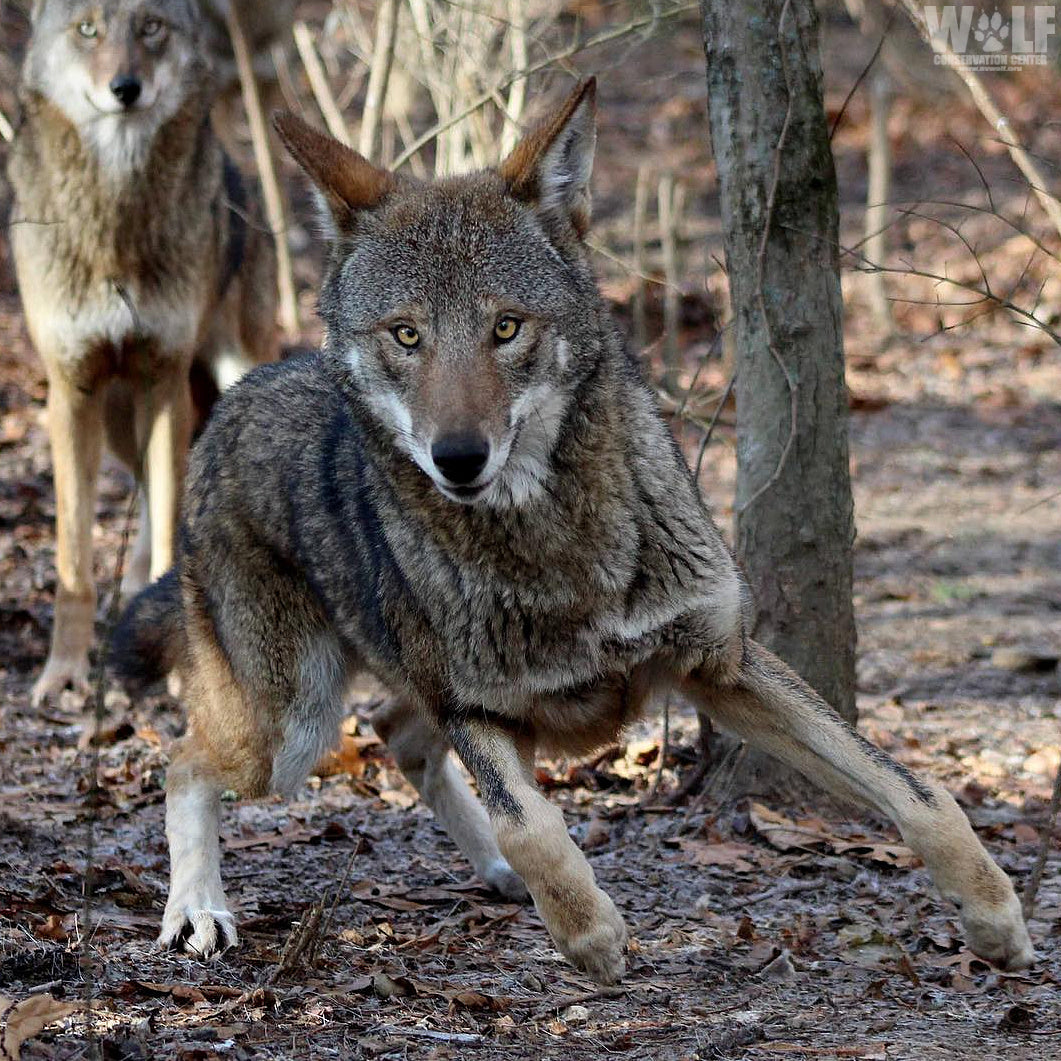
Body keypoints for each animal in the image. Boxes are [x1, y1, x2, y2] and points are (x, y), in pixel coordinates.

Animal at [10, 0, 279, 705]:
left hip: (226, 384)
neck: (115, 224)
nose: (124, 89)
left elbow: (167, 523)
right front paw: (62, 672)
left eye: (151, 26)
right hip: (115, 418)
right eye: (88, 30)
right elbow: (74, 563)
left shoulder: (163, 384)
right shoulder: (72, 394)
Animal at [112, 81, 1034, 983]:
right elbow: (530, 823)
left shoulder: (722, 664)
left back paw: (489, 876)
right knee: (183, 761)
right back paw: (197, 910)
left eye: (506, 327)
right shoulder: (478, 706)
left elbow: (914, 789)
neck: (558, 547)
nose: (458, 457)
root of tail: (229, 406)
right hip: (291, 731)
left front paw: (993, 916)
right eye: (407, 335)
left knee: (394, 737)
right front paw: (589, 933)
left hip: (357, 707)